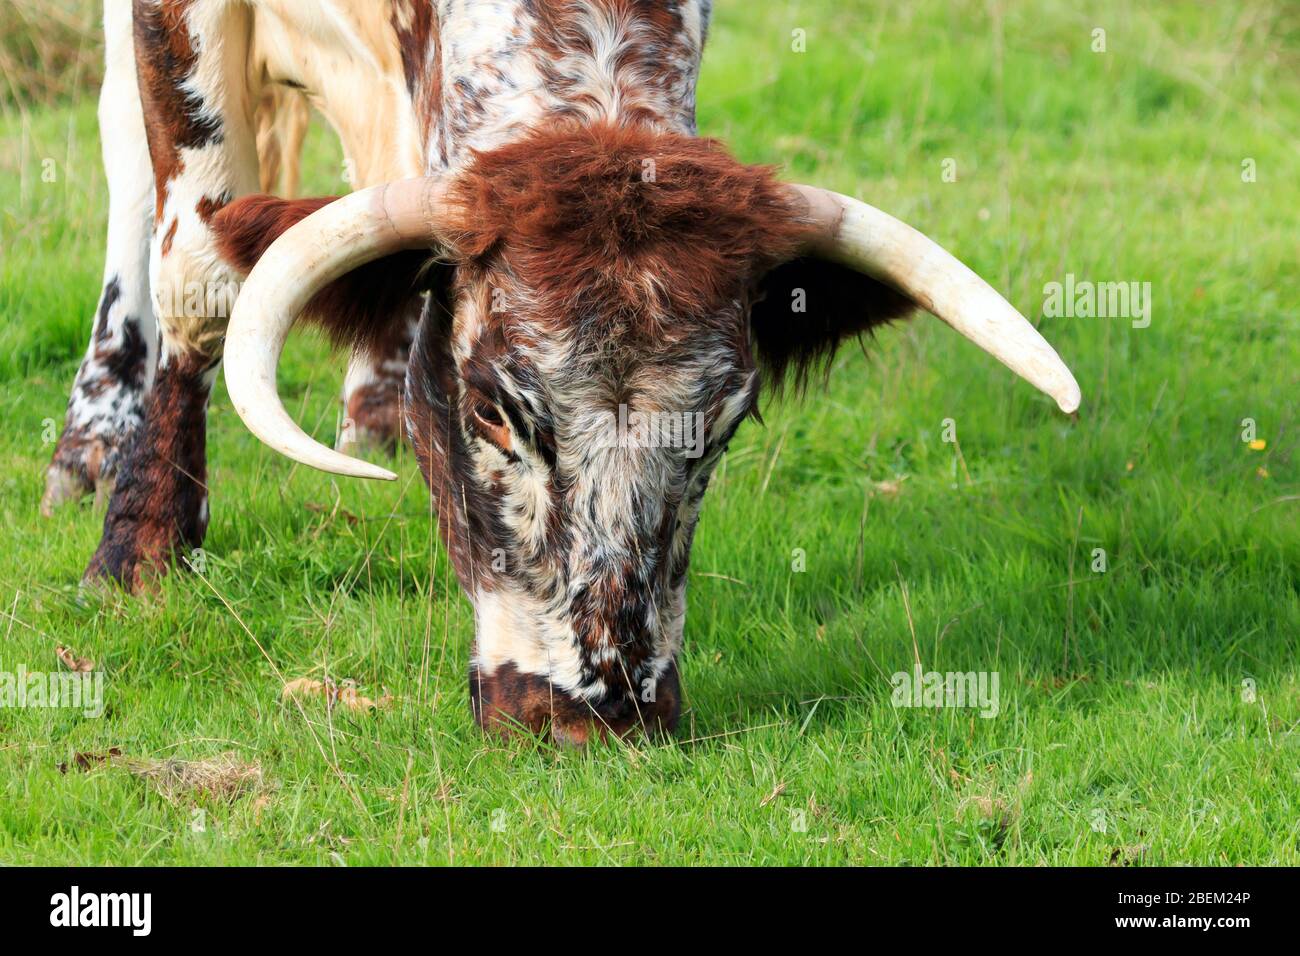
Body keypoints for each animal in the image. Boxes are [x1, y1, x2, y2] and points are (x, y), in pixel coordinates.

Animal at [48, 0, 1080, 745]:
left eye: (724, 428)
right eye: (492, 410)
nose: (594, 715)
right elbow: (197, 265)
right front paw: (138, 551)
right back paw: (93, 437)